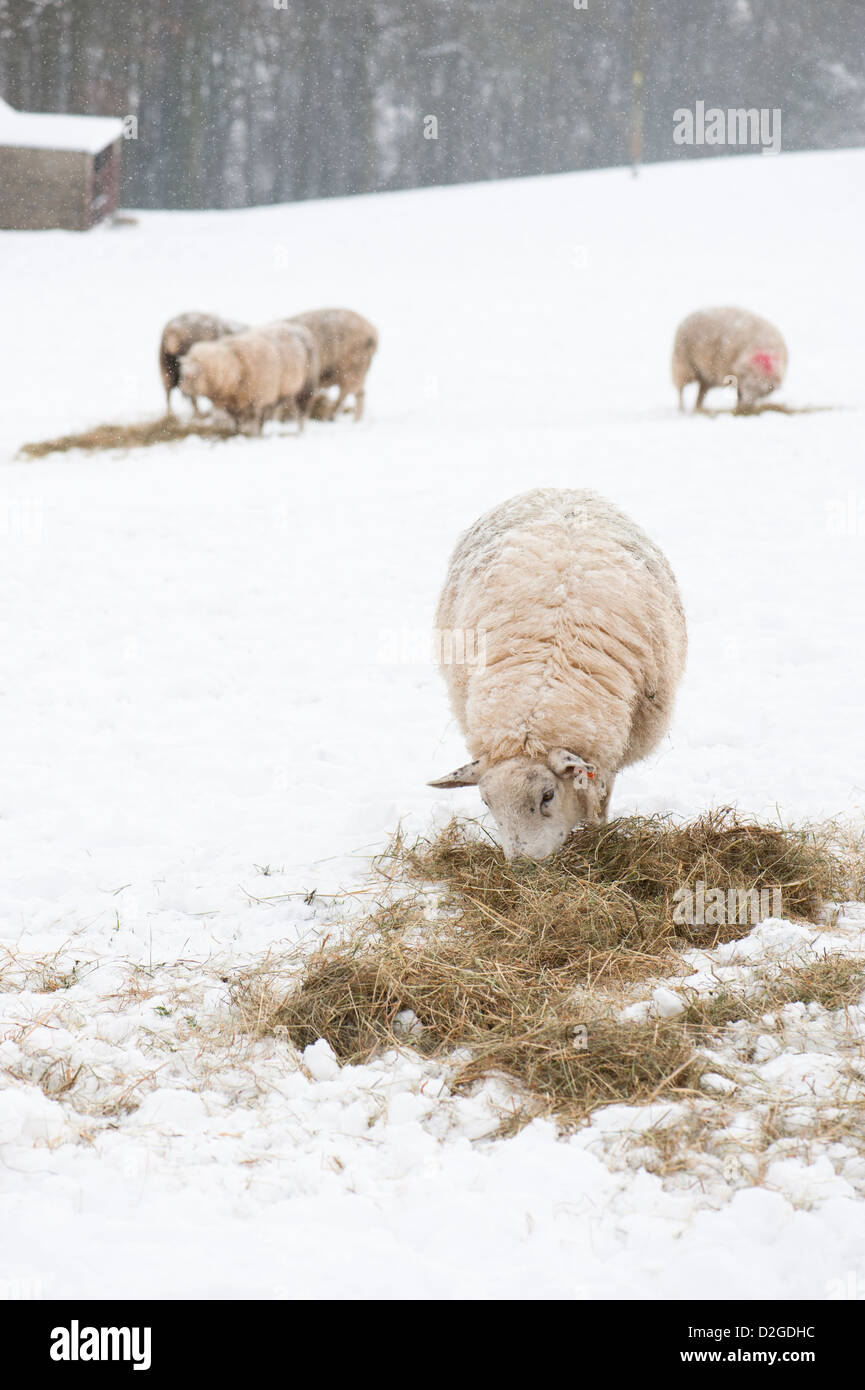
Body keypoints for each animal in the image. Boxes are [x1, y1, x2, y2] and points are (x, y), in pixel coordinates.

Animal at [177, 321, 318, 435]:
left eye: (191, 376)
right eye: (182, 373)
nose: (183, 390)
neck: (235, 364)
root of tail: (300, 328)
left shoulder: (260, 398)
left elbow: (257, 420)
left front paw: (255, 435)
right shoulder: (234, 404)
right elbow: (237, 421)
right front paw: (237, 433)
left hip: (306, 387)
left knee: (302, 412)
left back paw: (300, 431)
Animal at [428, 488, 687, 860]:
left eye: (547, 796)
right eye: (486, 802)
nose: (522, 865)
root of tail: (559, 490)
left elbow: (600, 797)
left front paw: (598, 833)